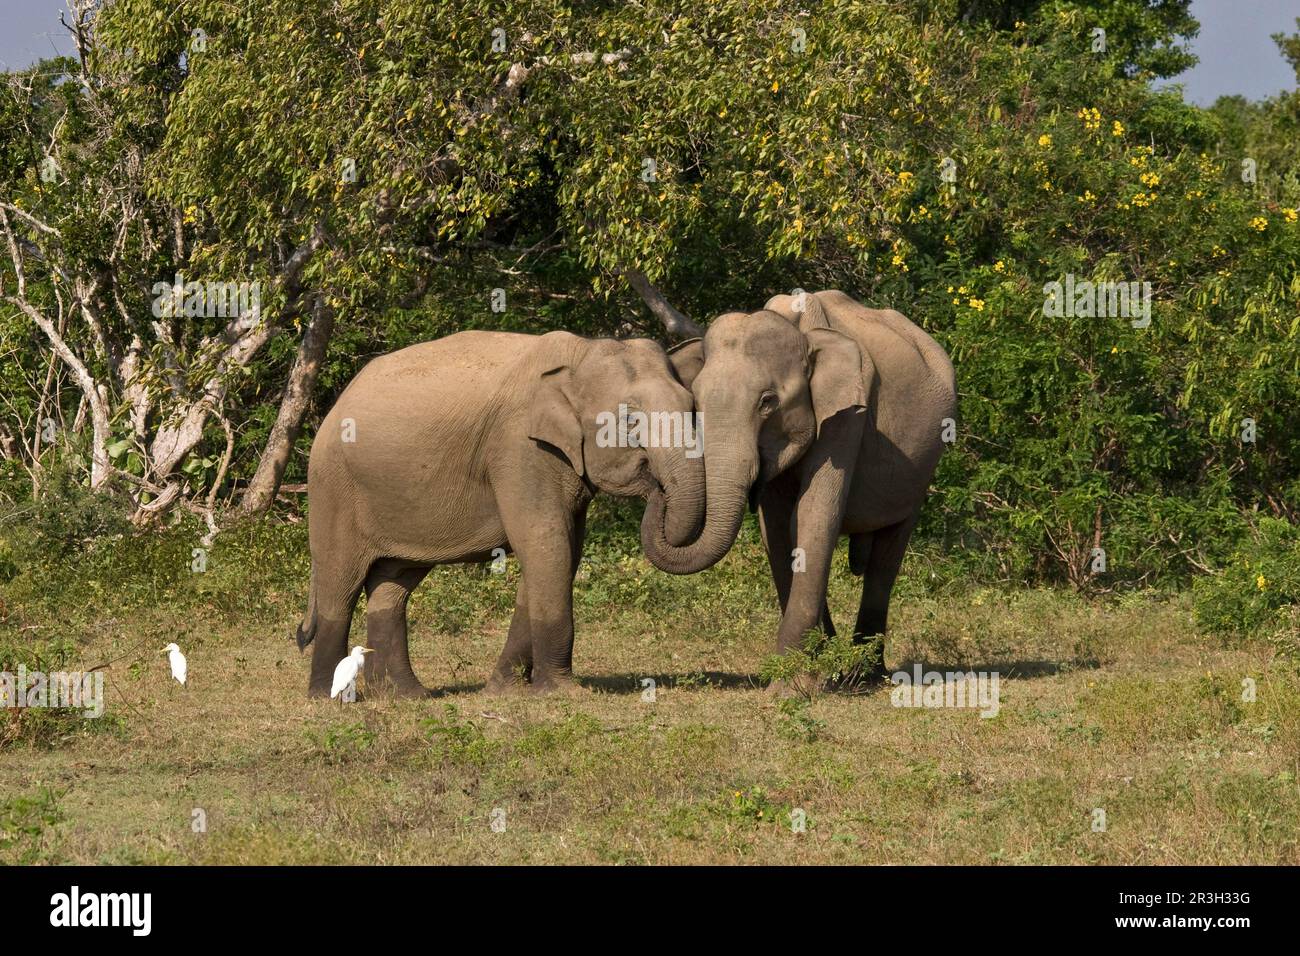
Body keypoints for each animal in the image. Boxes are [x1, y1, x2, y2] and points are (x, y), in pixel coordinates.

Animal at [295, 329, 705, 697]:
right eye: (630, 420)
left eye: (693, 410)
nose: (655, 484)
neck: (579, 352)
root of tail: (334, 408)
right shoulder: (518, 447)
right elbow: (545, 543)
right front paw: (561, 693)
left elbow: (563, 552)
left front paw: (501, 691)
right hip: (334, 488)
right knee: (340, 583)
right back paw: (325, 694)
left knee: (393, 585)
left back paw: (406, 696)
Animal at [647, 289, 956, 682]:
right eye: (695, 403)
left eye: (768, 402)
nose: (657, 490)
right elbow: (779, 530)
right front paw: (809, 666)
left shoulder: (848, 413)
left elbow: (812, 514)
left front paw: (790, 684)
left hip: (925, 466)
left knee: (887, 555)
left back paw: (866, 674)